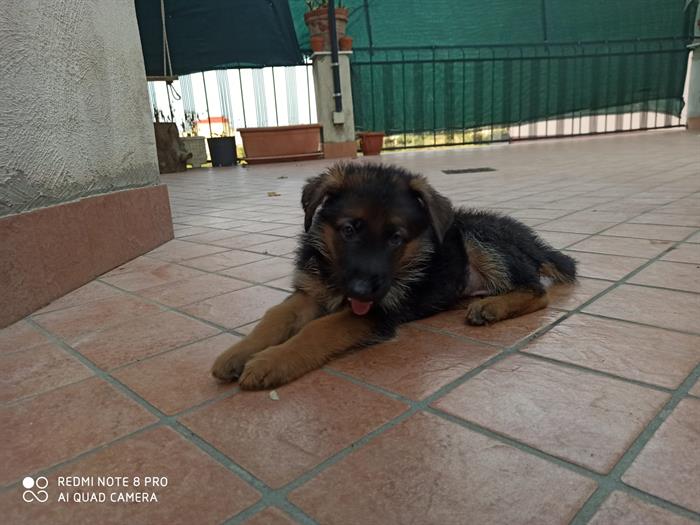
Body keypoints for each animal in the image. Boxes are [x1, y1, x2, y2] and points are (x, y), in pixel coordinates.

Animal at [212, 162, 576, 386]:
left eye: (396, 238)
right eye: (348, 230)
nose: (360, 291)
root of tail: (530, 241)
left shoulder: (377, 312)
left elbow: (319, 329)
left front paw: (270, 361)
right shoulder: (310, 291)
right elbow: (274, 317)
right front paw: (238, 353)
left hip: (478, 236)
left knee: (537, 291)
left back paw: (491, 307)